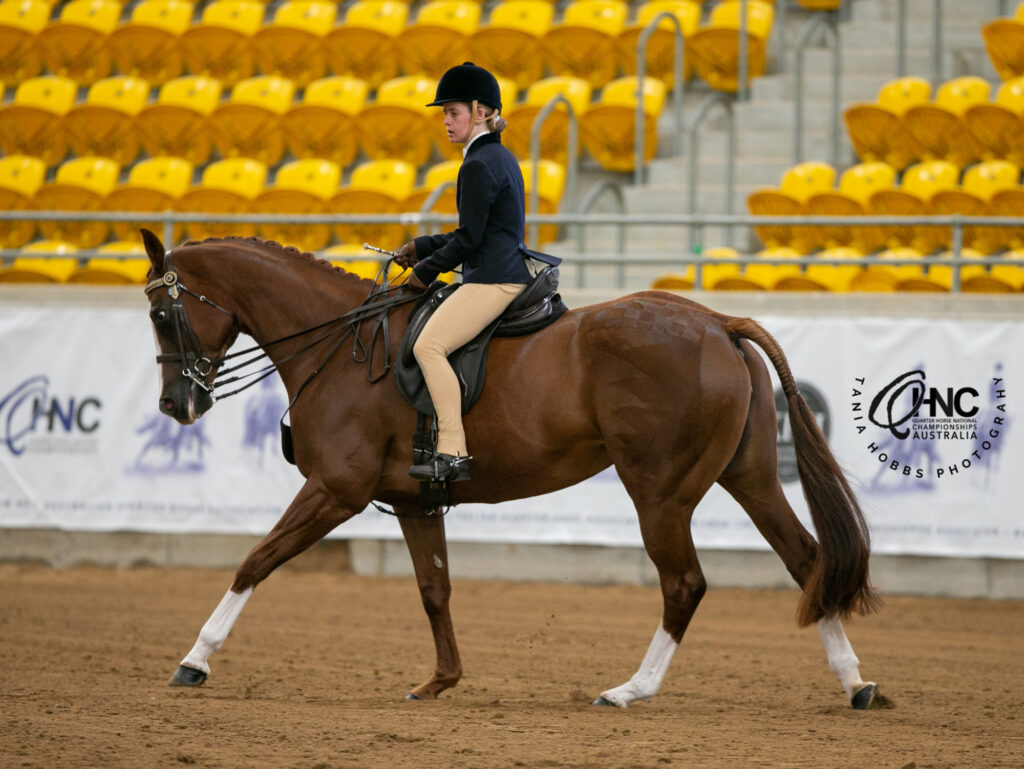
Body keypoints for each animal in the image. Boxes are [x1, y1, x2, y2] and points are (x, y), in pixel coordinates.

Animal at [139, 229, 885, 710]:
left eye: (161, 312)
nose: (177, 405)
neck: (341, 346)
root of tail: (718, 322)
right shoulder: (413, 501)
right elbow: (434, 588)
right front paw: (440, 680)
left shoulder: (333, 491)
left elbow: (254, 561)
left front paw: (194, 660)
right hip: (749, 476)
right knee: (806, 558)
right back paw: (856, 682)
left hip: (661, 492)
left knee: (685, 584)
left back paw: (631, 689)